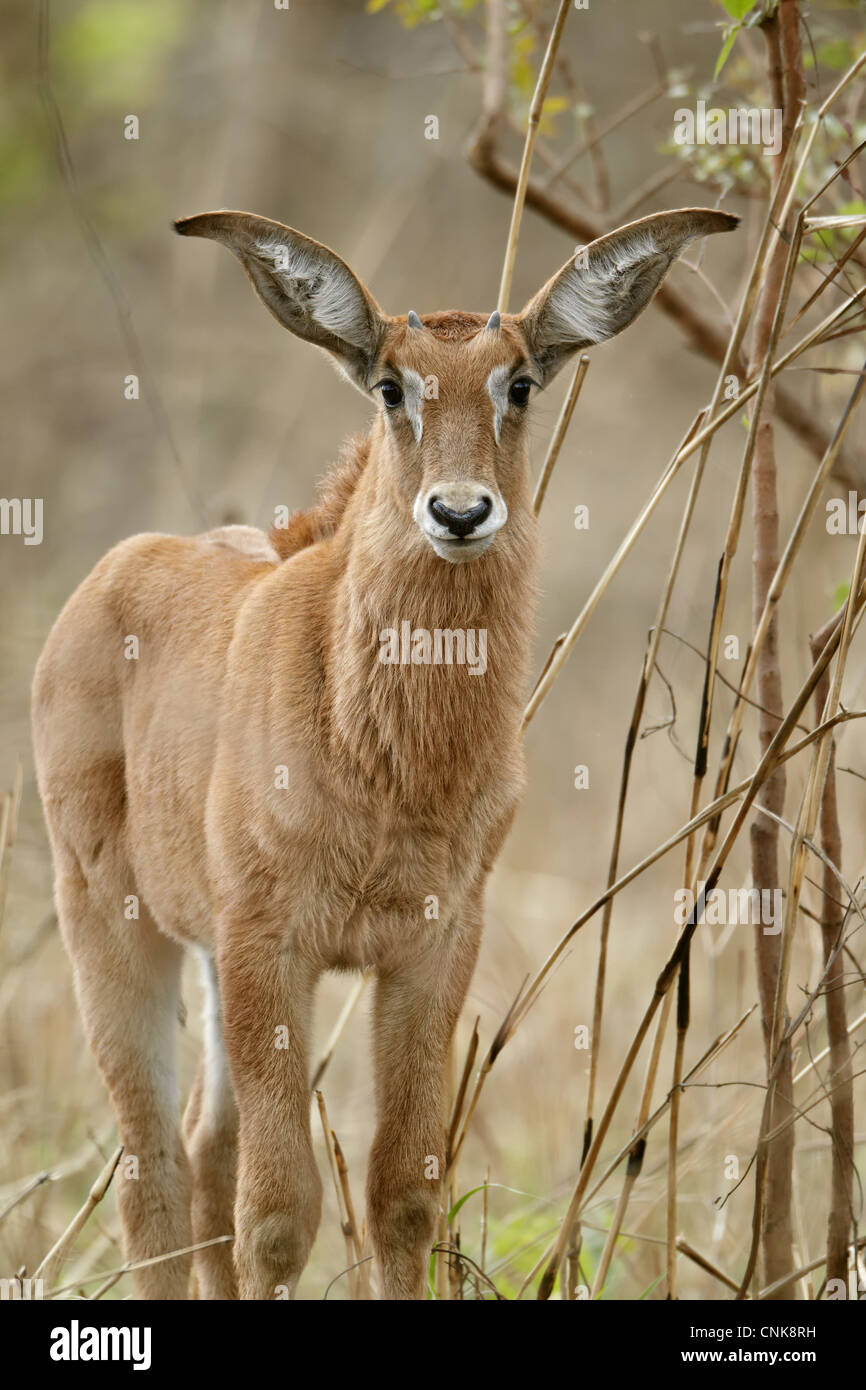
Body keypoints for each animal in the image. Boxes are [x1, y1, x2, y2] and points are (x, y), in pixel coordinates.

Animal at [32, 205, 737, 1300]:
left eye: (519, 381)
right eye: (391, 384)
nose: (458, 512)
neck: (387, 755)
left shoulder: (431, 945)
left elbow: (400, 1194)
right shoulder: (271, 946)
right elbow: (281, 1214)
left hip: (204, 957)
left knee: (203, 1150)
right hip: (112, 921)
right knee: (152, 1172)